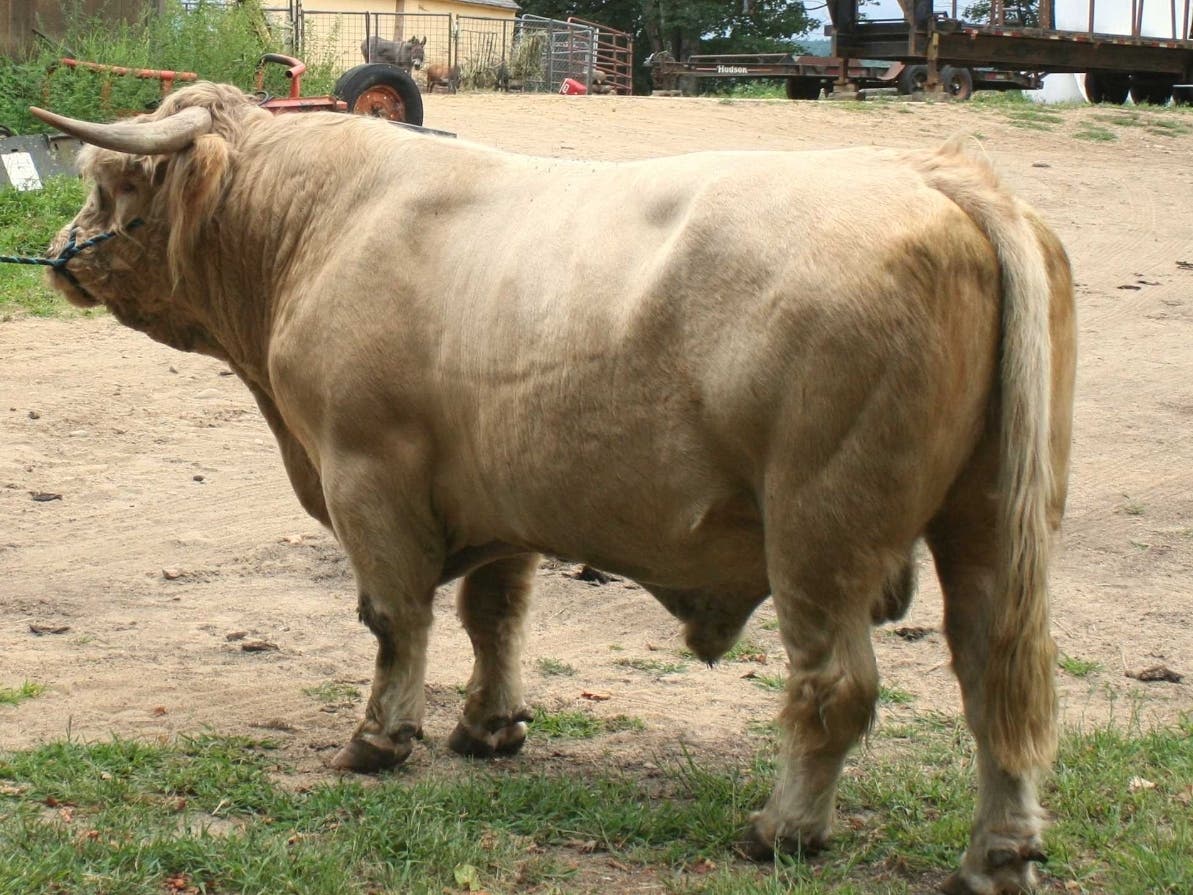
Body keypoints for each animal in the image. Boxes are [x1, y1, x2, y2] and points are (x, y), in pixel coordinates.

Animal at [32, 81, 1075, 895]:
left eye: (108, 183)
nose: (57, 252)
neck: (317, 226)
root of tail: (936, 172)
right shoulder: (502, 497)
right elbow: (495, 615)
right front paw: (487, 727)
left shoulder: (365, 471)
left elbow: (394, 617)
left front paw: (379, 738)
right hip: (991, 521)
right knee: (996, 676)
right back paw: (995, 853)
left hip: (820, 528)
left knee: (837, 688)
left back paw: (782, 827)